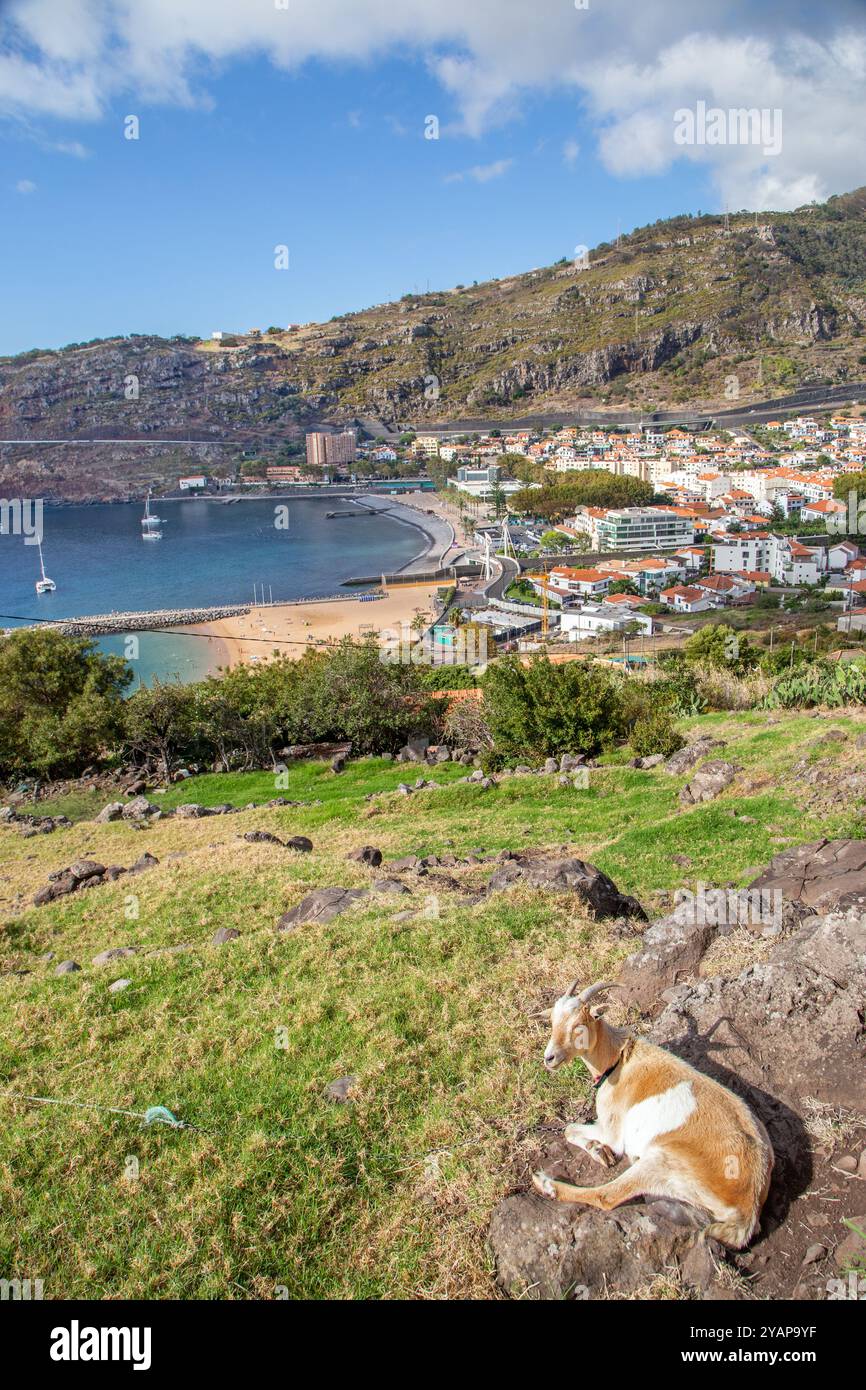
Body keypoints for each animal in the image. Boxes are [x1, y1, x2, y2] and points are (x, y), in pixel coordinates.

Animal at [533, 980, 773, 1248]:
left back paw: (546, 1184)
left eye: (578, 1026)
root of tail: (749, 1206)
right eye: (552, 1022)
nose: (549, 1058)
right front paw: (597, 1149)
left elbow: (570, 1129)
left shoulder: (611, 1131)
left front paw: (599, 1152)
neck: (619, 1060)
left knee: (606, 1195)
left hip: (659, 1162)